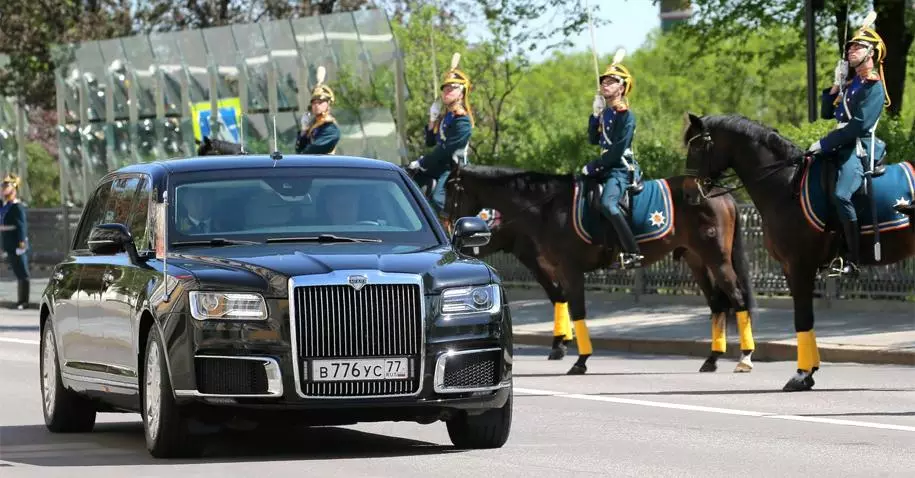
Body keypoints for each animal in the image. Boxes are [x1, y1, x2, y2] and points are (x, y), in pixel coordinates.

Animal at [444, 162, 760, 376]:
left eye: (448, 189)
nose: (448, 224)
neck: (548, 207)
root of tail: (720, 193)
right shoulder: (552, 266)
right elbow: (568, 305)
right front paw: (569, 351)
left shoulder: (567, 269)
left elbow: (577, 310)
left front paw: (579, 359)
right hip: (697, 260)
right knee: (718, 304)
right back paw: (712, 359)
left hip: (717, 259)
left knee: (736, 298)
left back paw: (744, 356)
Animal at [684, 114, 915, 390]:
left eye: (697, 147)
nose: (688, 193)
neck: (785, 185)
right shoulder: (789, 268)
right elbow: (806, 319)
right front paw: (809, 372)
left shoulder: (800, 265)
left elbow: (802, 318)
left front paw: (801, 374)